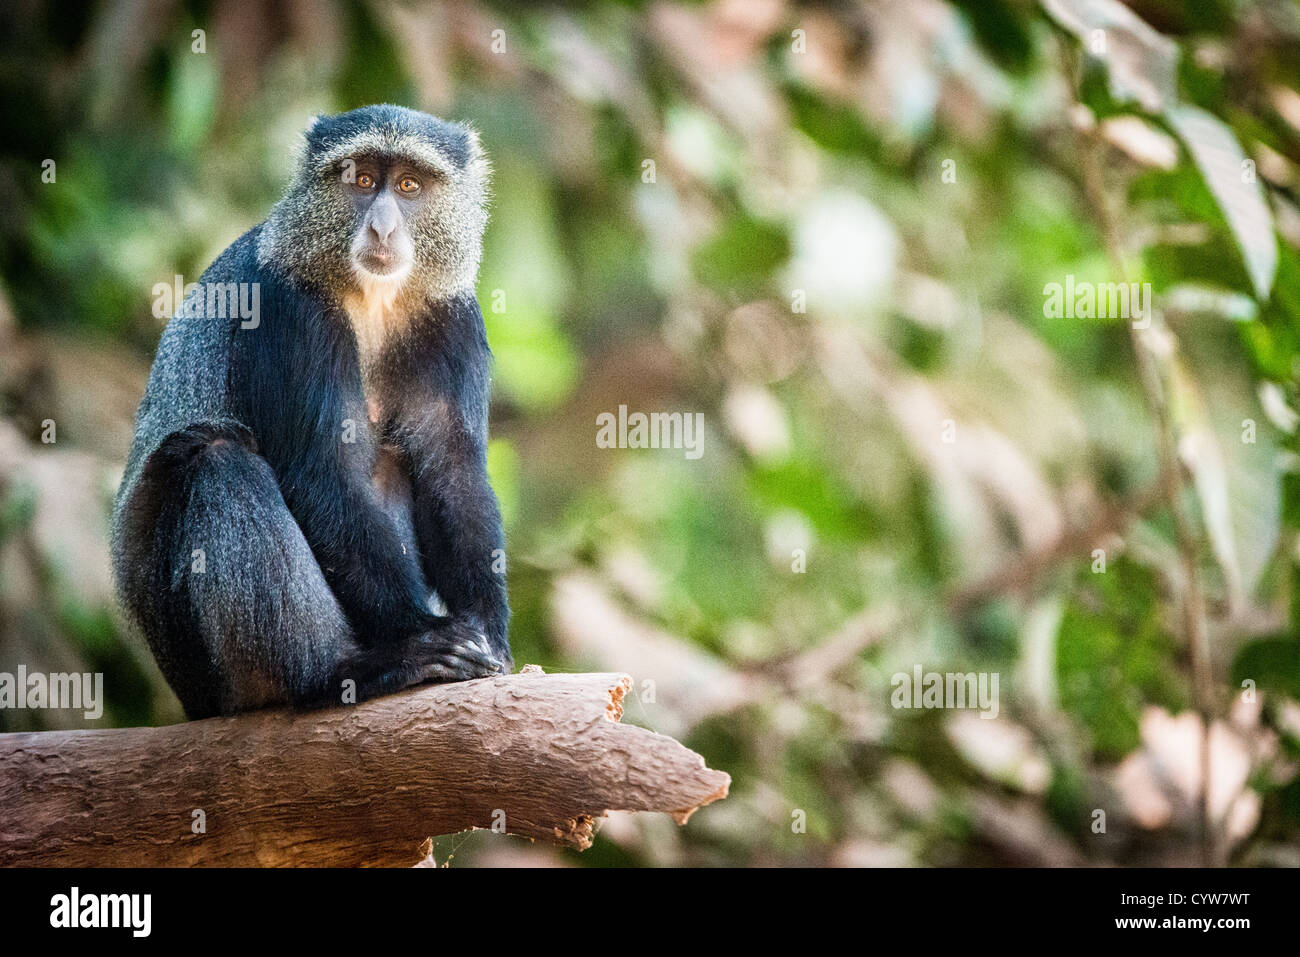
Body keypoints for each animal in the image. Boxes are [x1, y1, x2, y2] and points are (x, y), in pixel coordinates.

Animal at [111, 105, 512, 719]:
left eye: (409, 185)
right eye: (362, 180)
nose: (382, 229)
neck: (372, 298)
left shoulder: (454, 319)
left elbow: (451, 470)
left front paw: (492, 637)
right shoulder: (285, 306)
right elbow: (320, 470)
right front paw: (425, 634)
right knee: (218, 460)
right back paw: (341, 673)